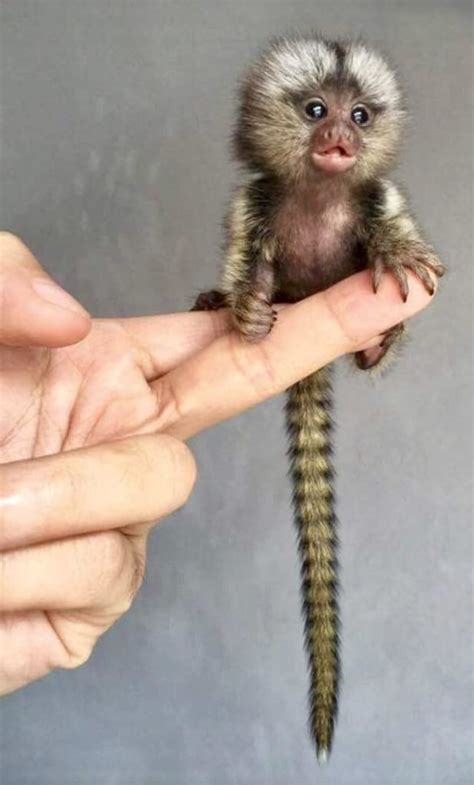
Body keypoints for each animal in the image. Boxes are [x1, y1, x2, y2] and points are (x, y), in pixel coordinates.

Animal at [191, 34, 444, 764]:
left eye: (360, 114)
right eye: (314, 110)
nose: (339, 137)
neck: (319, 193)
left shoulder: (380, 196)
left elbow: (392, 228)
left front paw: (394, 249)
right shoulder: (252, 206)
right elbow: (246, 259)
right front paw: (241, 304)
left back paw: (377, 345)